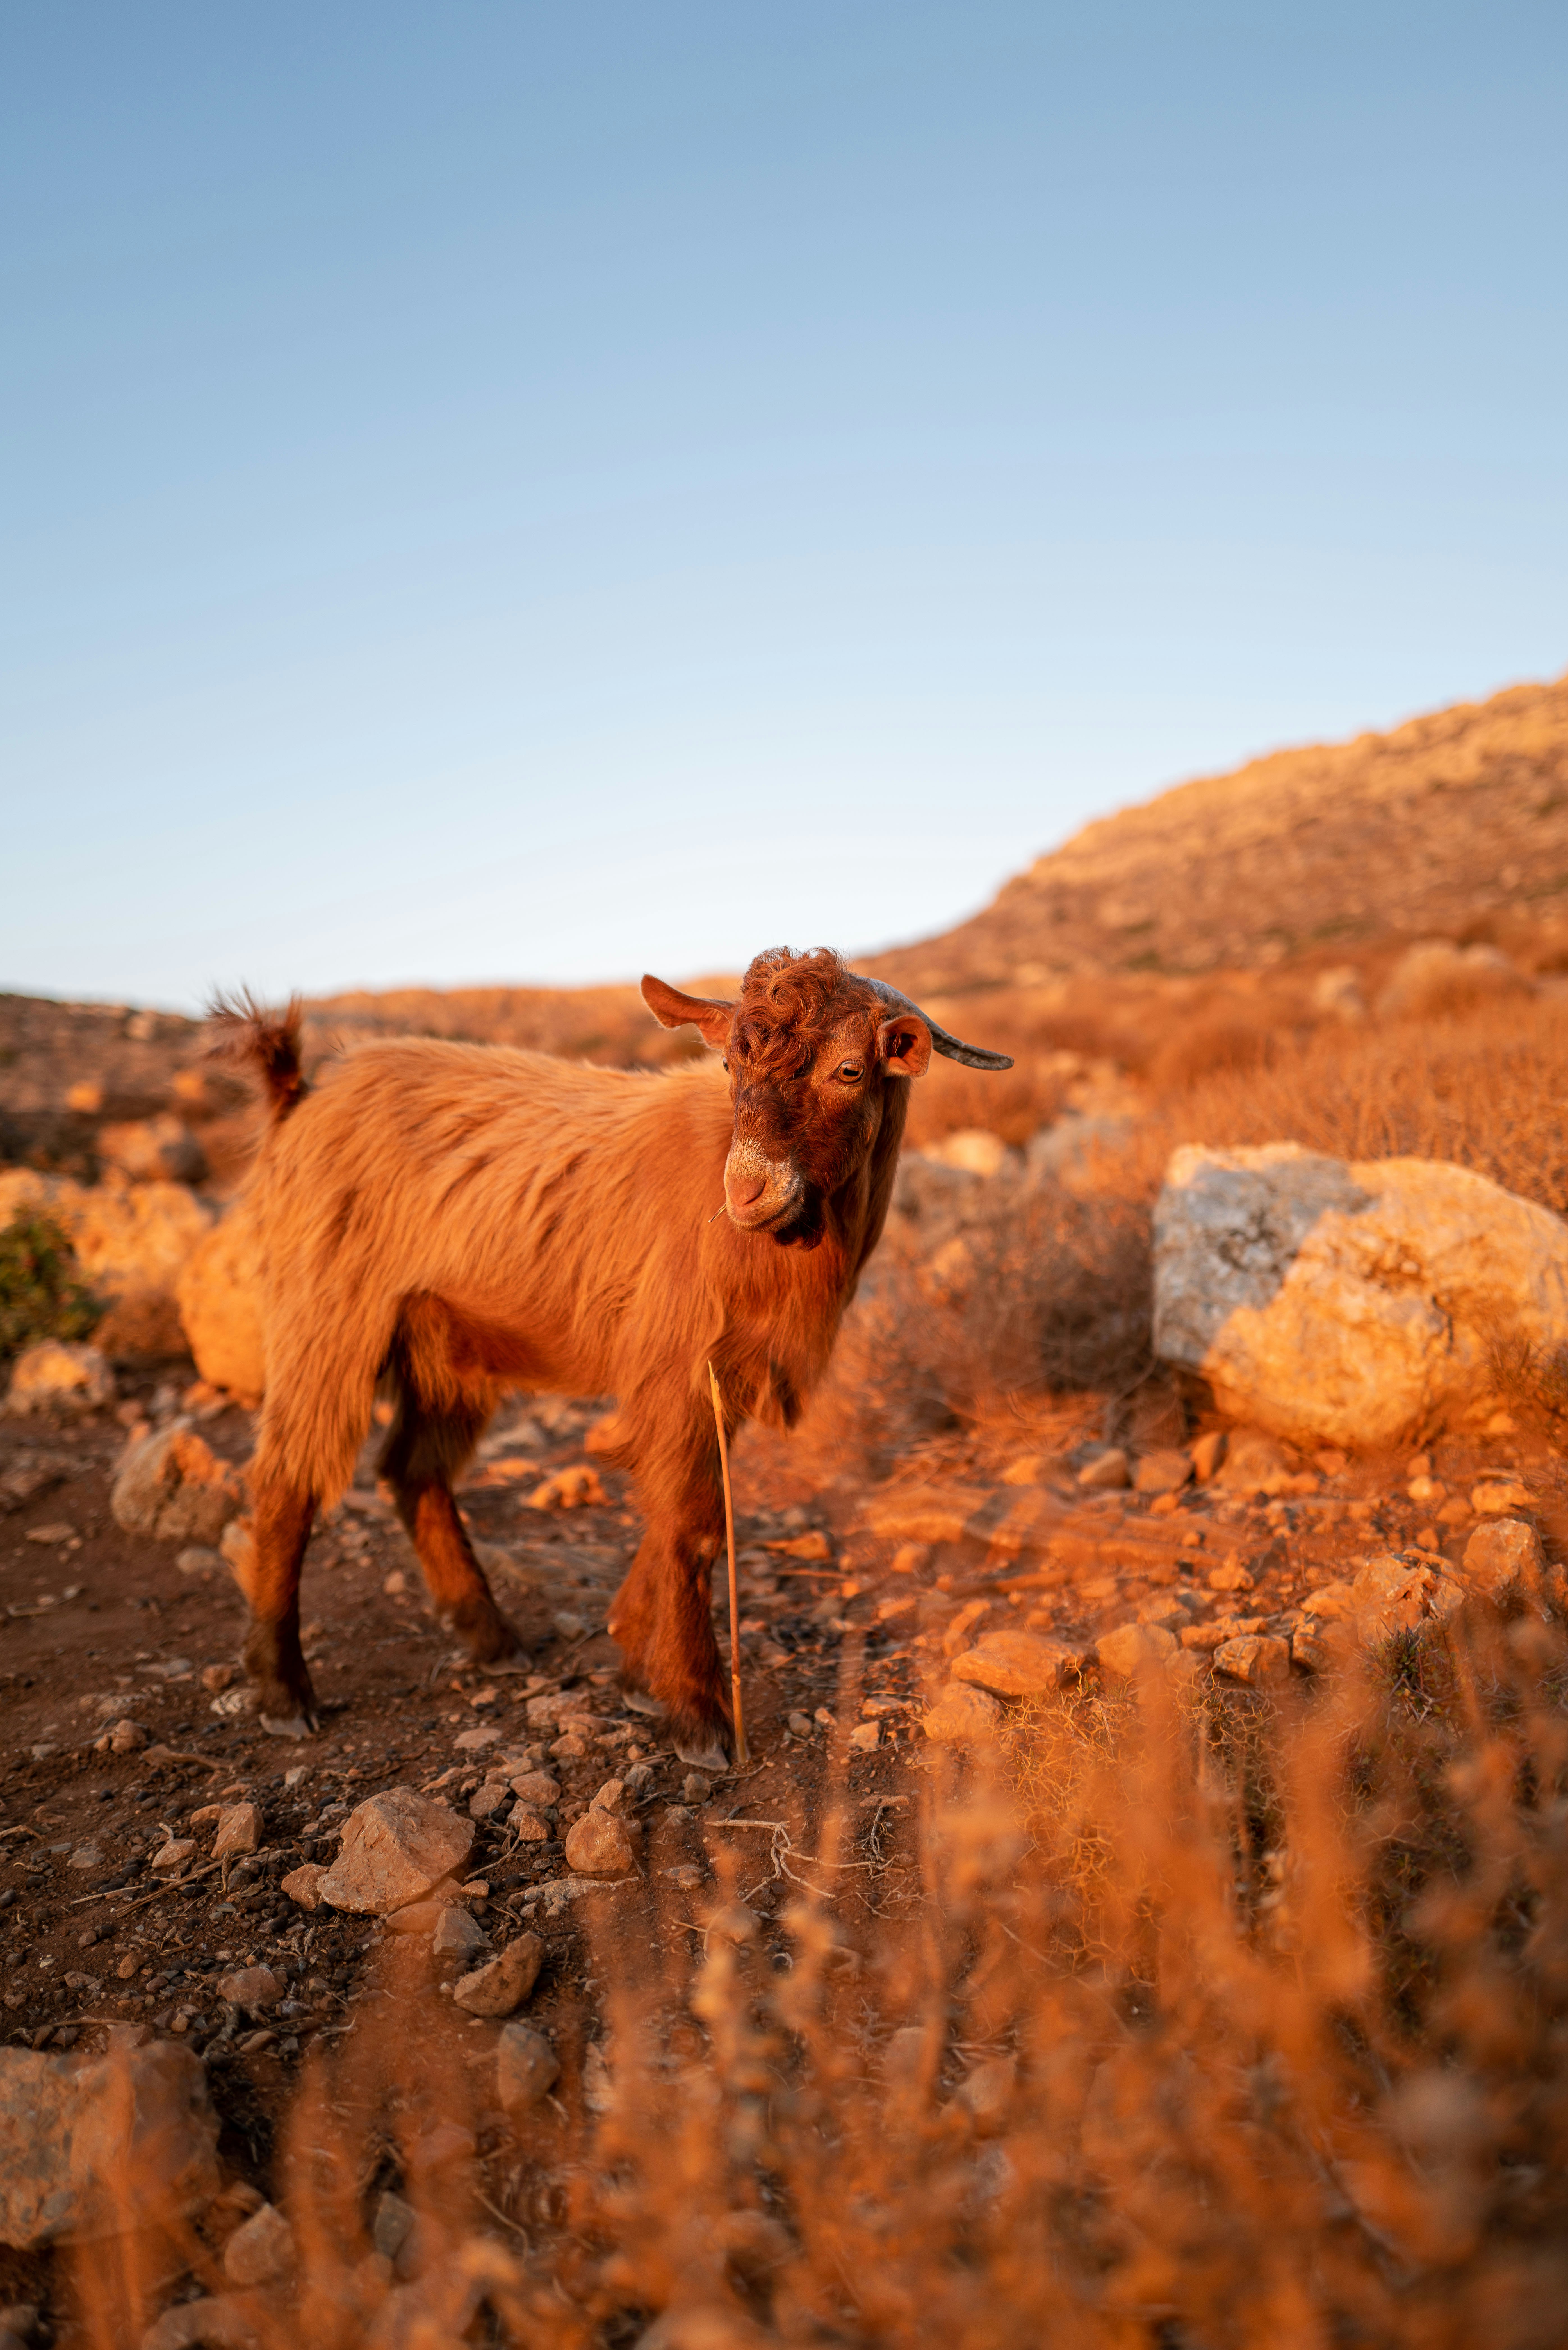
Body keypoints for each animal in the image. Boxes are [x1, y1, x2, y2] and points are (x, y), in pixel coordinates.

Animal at [211, 947, 1012, 1764]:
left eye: (850, 1070)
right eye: (729, 1064)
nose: (747, 1191)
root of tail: (303, 1095)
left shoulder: (723, 1375)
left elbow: (678, 1512)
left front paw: (632, 1656)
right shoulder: (679, 1365)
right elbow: (694, 1523)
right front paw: (697, 1712)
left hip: (443, 1342)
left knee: (413, 1469)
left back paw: (491, 1638)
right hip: (328, 1312)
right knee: (287, 1479)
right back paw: (284, 1691)